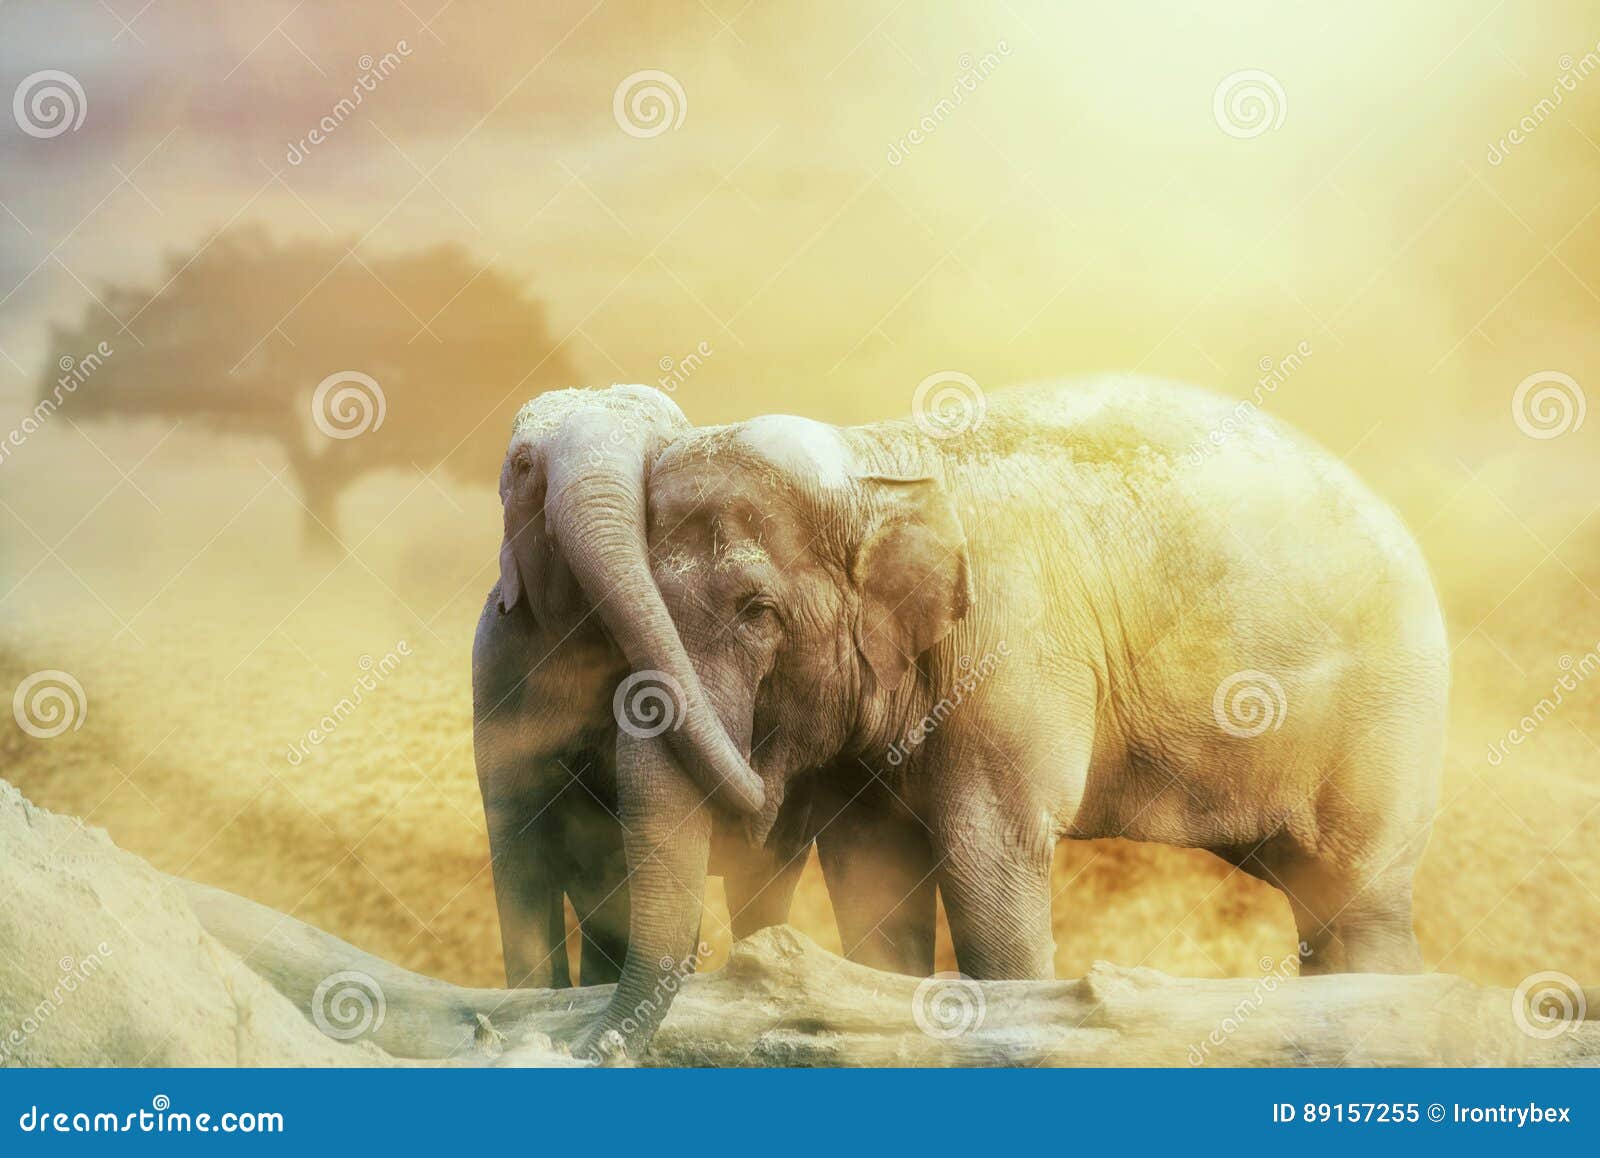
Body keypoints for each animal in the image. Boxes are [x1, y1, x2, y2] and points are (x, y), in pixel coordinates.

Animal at [575, 376, 1449, 1060]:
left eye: (756, 611)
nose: (586, 1045)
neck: (880, 457)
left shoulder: (1011, 651)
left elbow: (987, 859)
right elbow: (871, 874)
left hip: (1386, 723)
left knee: (1358, 900)